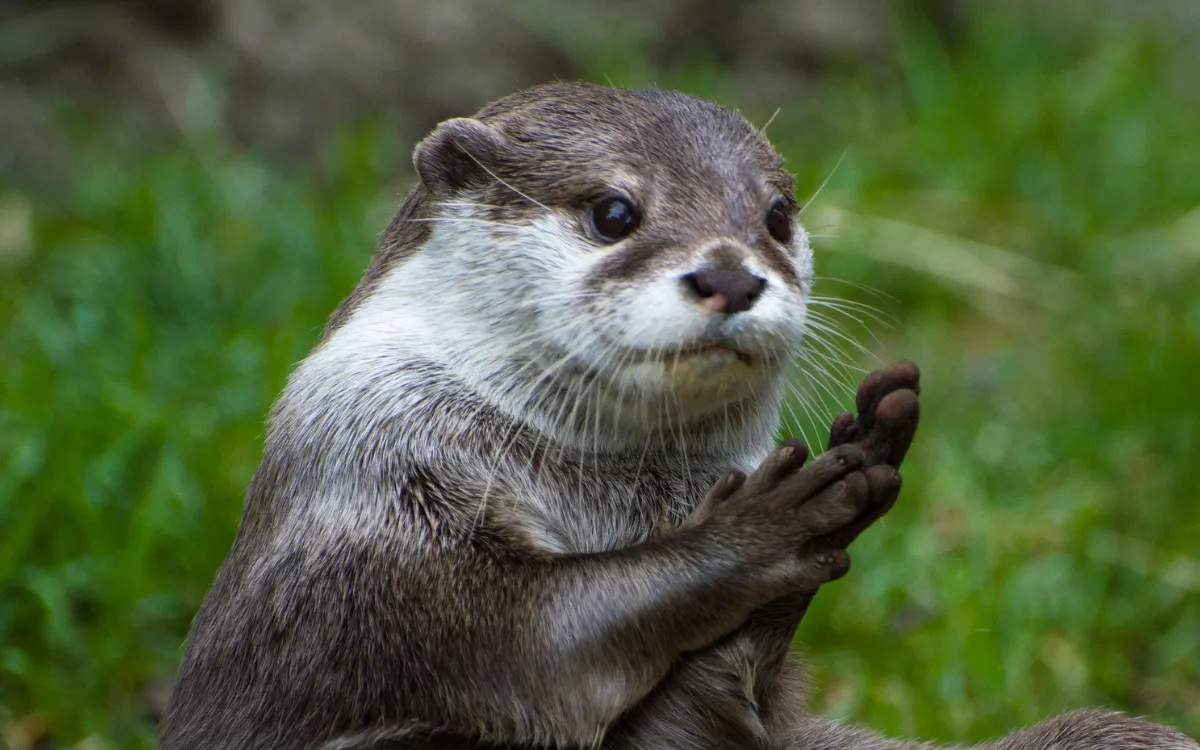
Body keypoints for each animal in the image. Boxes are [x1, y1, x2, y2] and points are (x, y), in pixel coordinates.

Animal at [160, 83, 1197, 749]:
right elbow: (532, 642)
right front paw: (767, 528)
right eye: (615, 211)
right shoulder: (372, 517)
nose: (732, 272)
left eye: (777, 215)